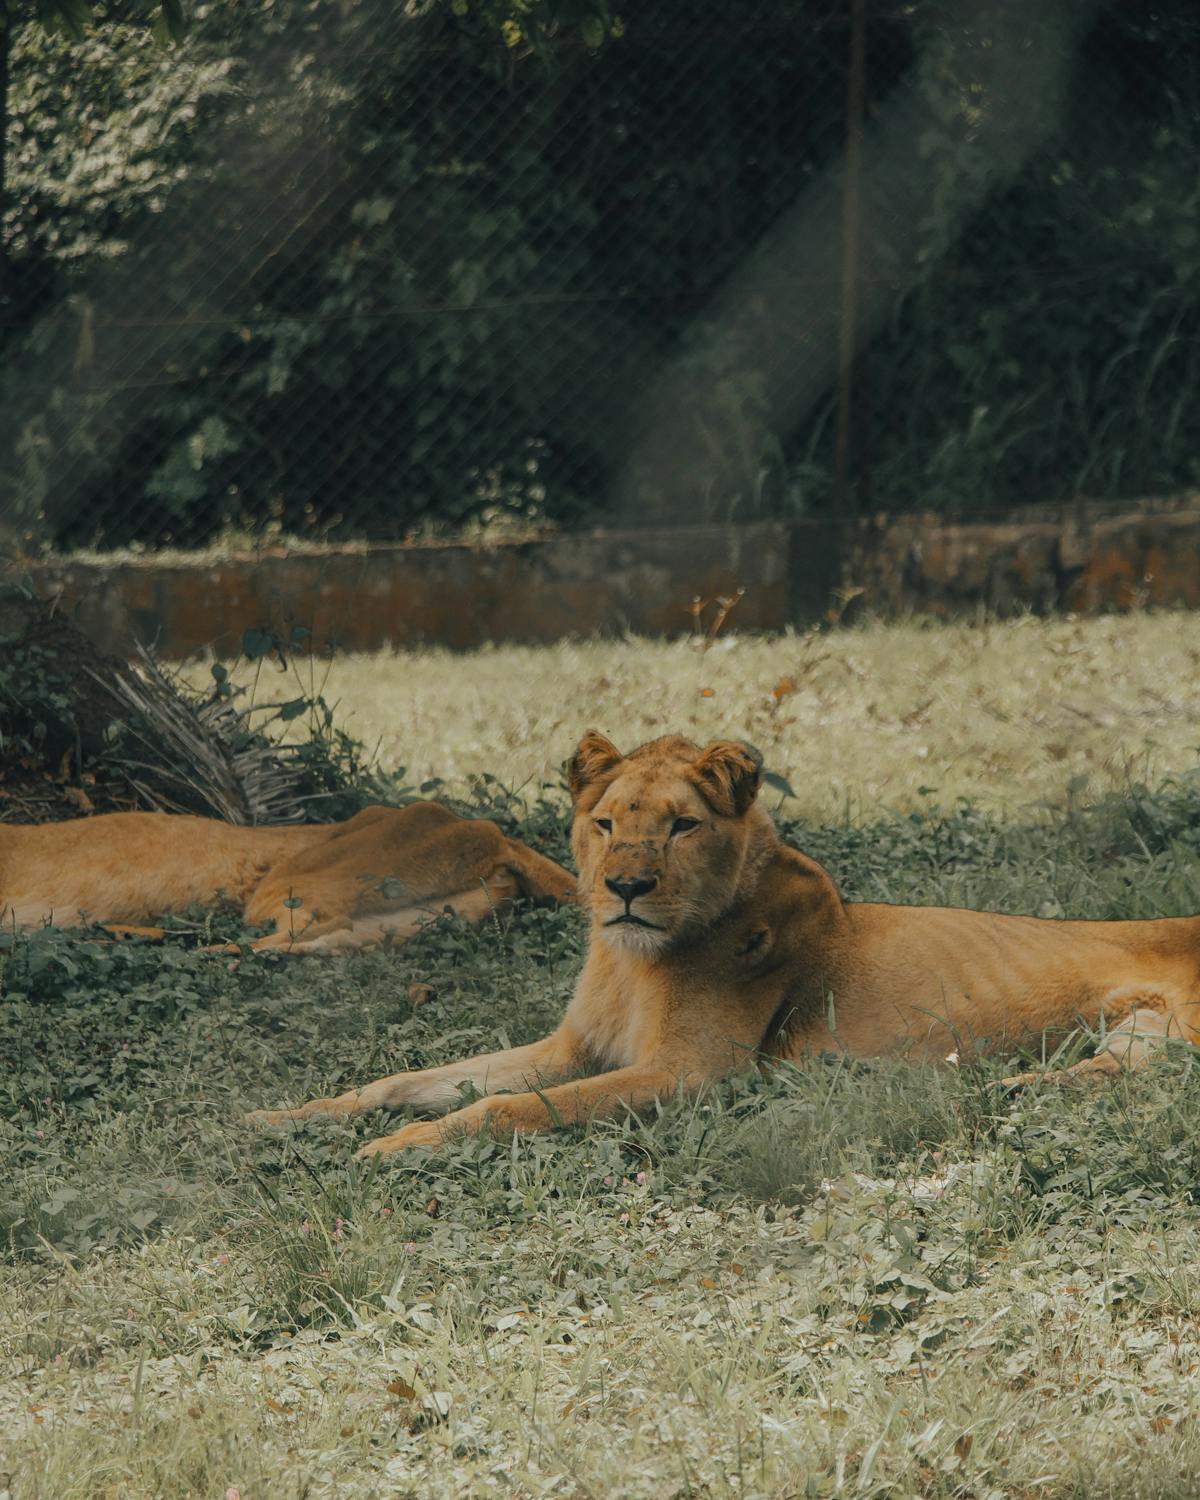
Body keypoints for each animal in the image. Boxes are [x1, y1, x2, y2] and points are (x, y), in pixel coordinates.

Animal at [248, 731, 1200, 1155]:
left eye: (681, 826)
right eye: (606, 824)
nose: (626, 888)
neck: (630, 962)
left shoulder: (694, 1072)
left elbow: (505, 1109)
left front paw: (394, 1149)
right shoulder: (572, 1048)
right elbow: (408, 1081)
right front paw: (282, 1117)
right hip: (1136, 1034)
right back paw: (998, 1088)